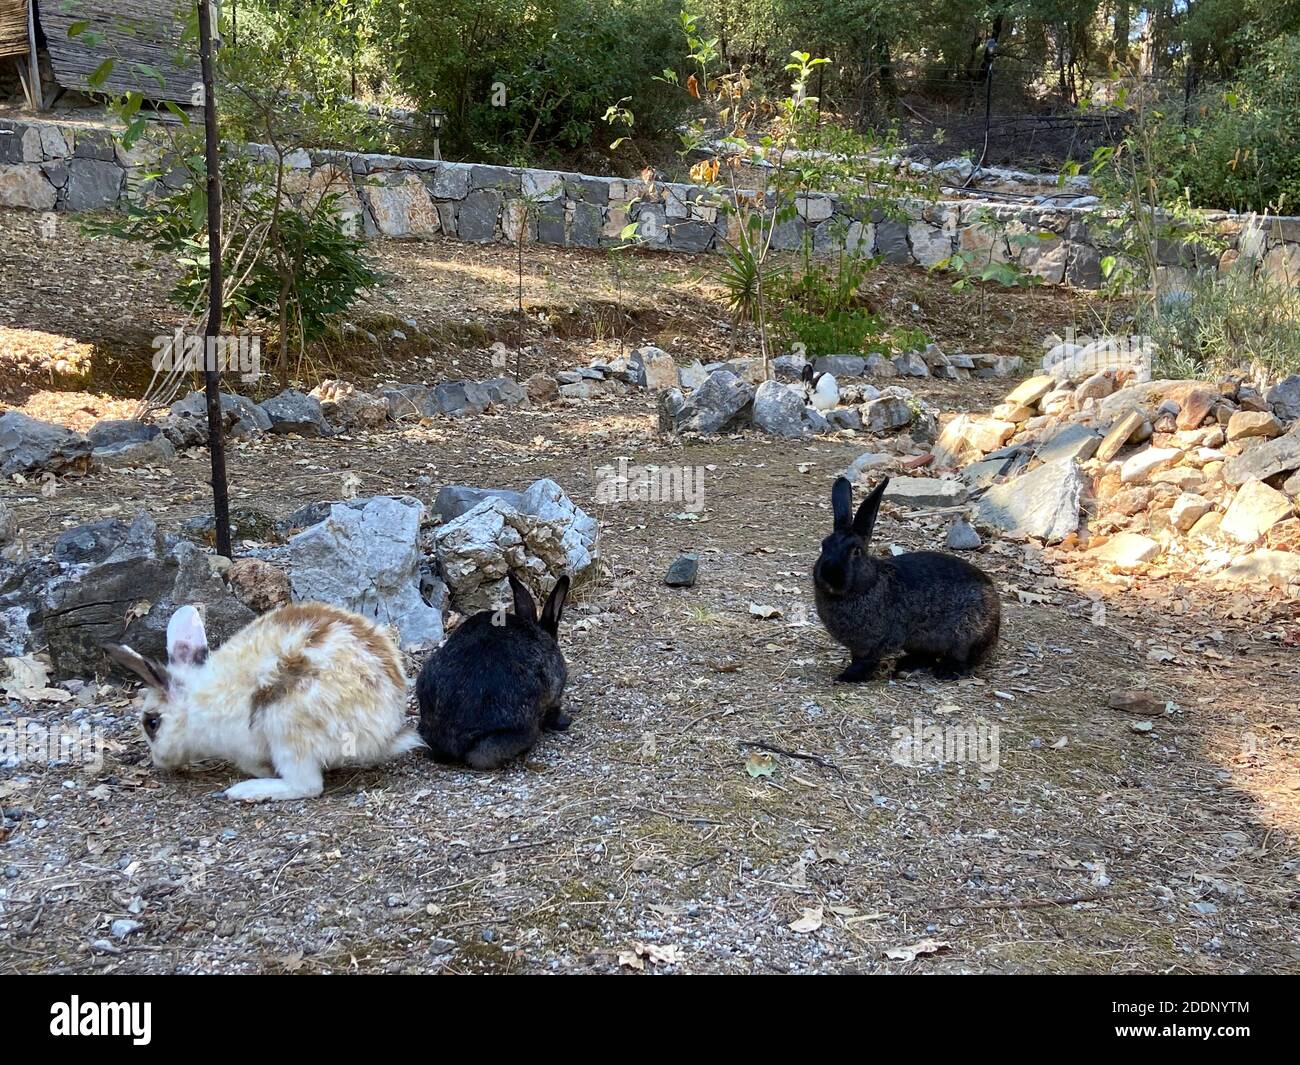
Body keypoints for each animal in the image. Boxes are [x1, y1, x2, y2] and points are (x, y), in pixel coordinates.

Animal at [104, 602, 423, 802]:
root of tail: (384, 731)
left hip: (285, 726)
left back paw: (247, 791)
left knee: (306, 786)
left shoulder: (243, 746)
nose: (158, 762)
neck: (194, 703)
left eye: (152, 723)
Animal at [813, 476, 1001, 682]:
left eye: (856, 551)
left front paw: (847, 676)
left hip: (966, 634)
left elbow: (865, 661)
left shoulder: (876, 643)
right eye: (824, 545)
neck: (870, 585)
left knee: (963, 657)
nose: (829, 575)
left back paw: (946, 671)